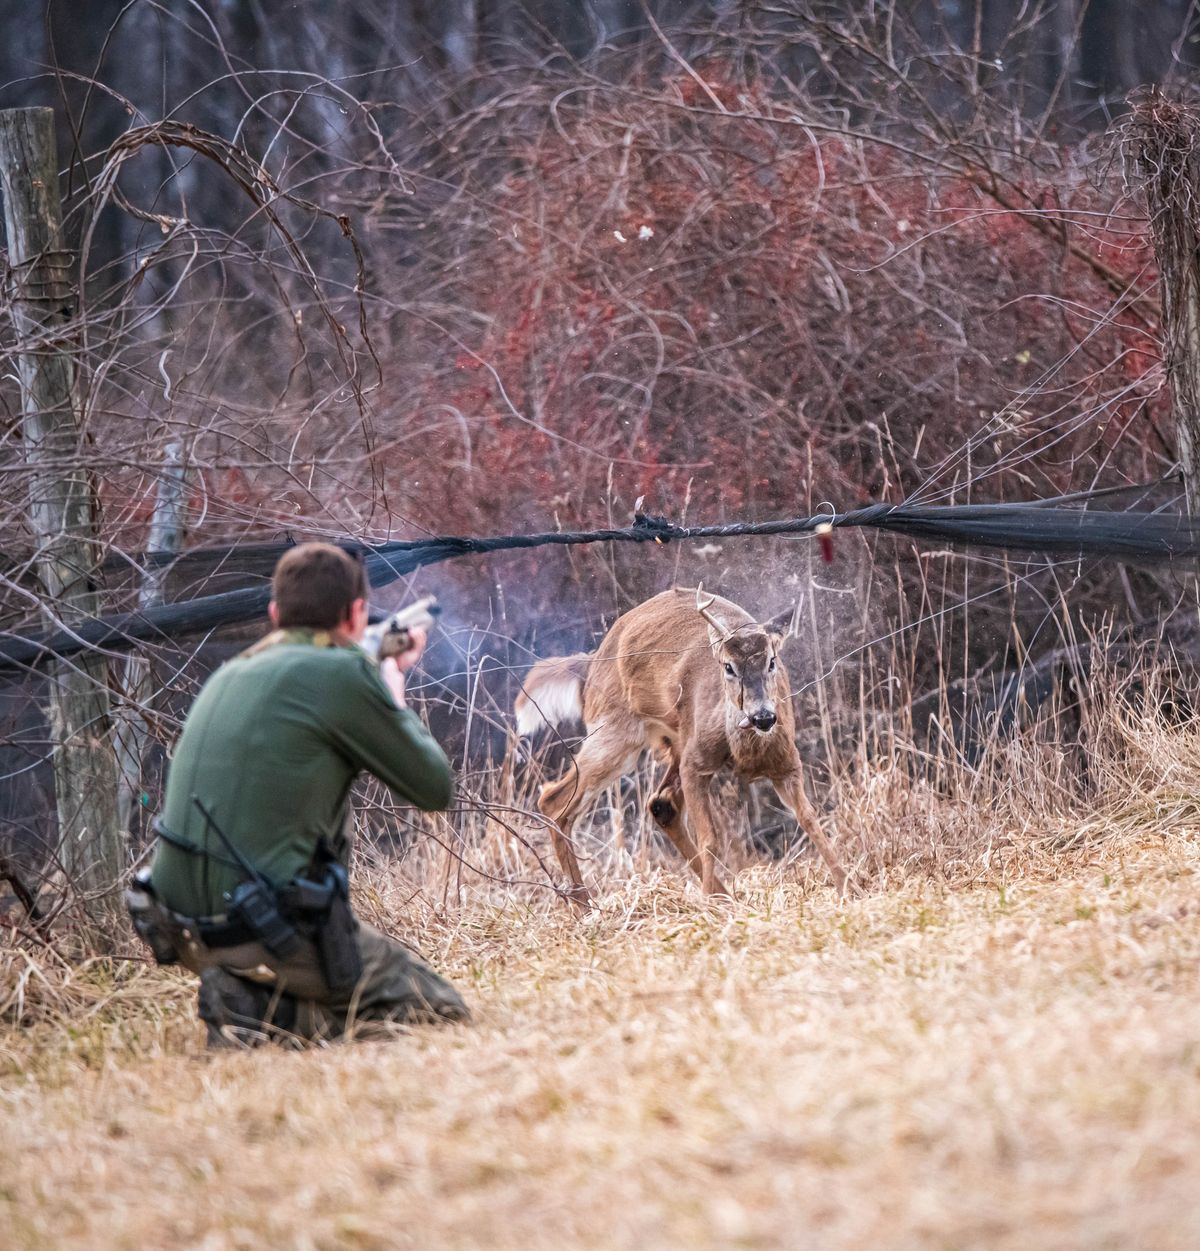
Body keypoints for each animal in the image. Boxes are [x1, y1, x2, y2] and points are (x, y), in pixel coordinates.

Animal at [515, 586, 849, 907]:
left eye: (772, 662)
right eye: (728, 667)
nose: (763, 716)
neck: (744, 752)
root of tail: (592, 662)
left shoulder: (787, 762)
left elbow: (809, 818)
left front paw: (849, 887)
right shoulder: (695, 763)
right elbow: (710, 840)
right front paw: (706, 908)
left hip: (672, 740)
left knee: (661, 804)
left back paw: (725, 898)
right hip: (616, 730)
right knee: (554, 800)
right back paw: (585, 907)